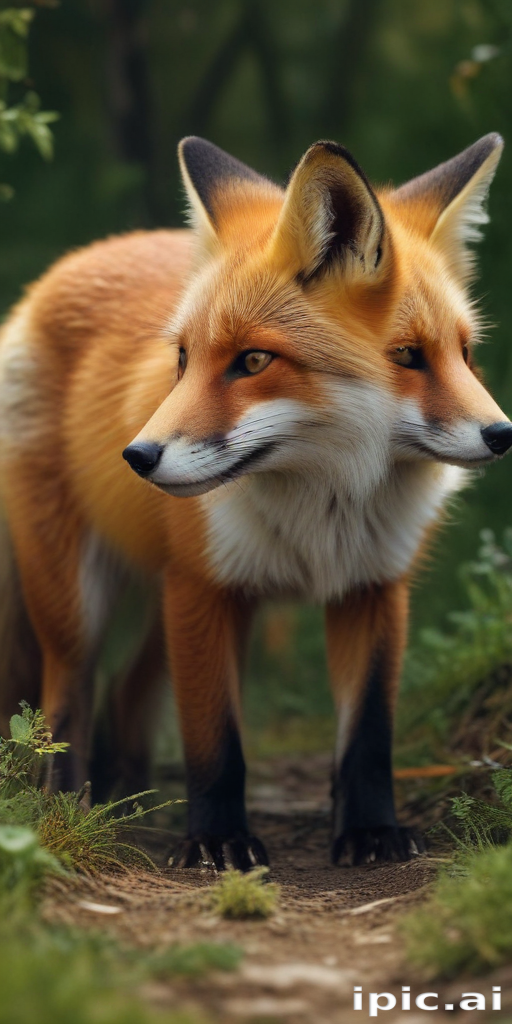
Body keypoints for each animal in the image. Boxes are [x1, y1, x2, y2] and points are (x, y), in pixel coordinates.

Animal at [0, 132, 510, 869]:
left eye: (462, 354)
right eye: (185, 359)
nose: (138, 457)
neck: (324, 504)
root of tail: (71, 263)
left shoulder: (373, 587)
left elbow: (367, 737)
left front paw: (370, 833)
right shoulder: (204, 588)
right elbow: (215, 741)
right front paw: (217, 841)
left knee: (125, 693)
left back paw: (126, 799)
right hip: (75, 594)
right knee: (67, 696)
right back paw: (66, 813)